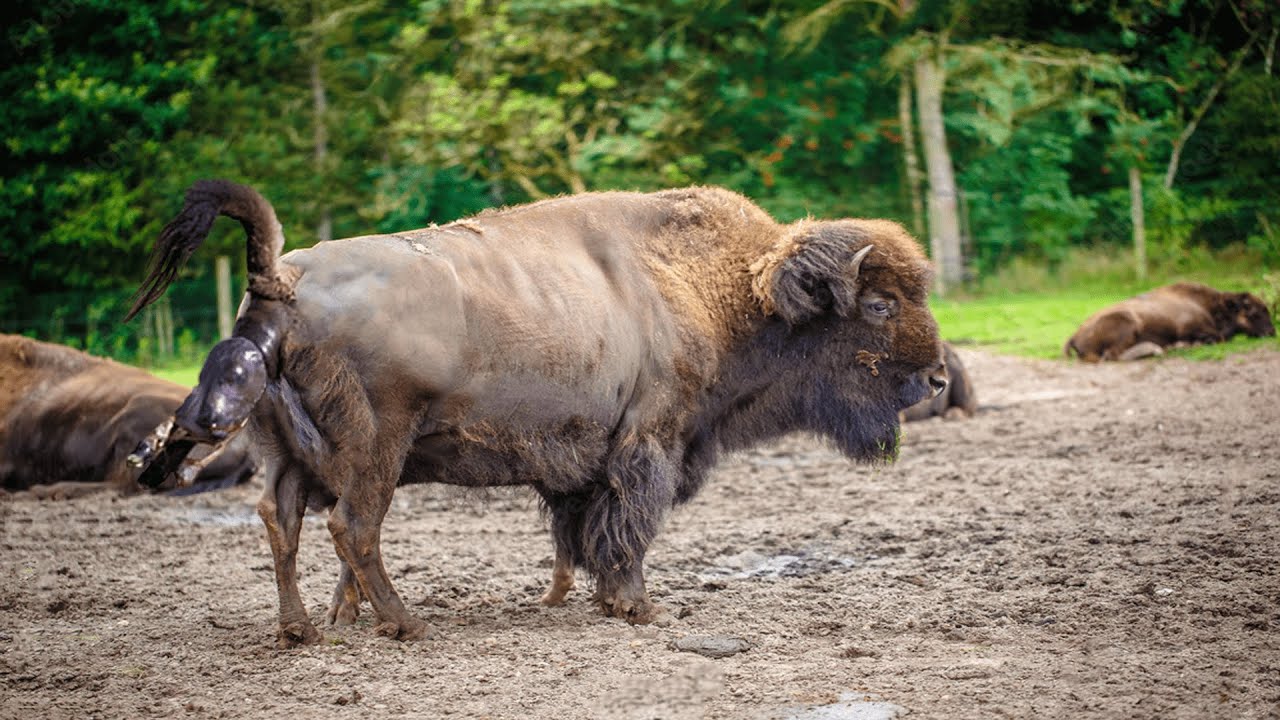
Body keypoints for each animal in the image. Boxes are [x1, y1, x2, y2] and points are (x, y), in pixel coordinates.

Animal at [128, 180, 946, 647]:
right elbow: (628, 527)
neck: (718, 289)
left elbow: (579, 528)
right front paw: (637, 608)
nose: (938, 379)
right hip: (377, 448)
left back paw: (300, 630)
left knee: (282, 522)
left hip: (286, 454)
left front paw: (581, 598)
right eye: (879, 304)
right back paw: (408, 624)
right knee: (352, 528)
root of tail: (282, 281)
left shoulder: (581, 461)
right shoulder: (650, 441)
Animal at [1064, 282, 1275, 362]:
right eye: (1255, 312)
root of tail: (1074, 335)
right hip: (1128, 321)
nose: (1272, 332)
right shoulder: (1192, 329)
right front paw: (1183, 345)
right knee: (1112, 355)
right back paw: (1156, 350)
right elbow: (1215, 338)